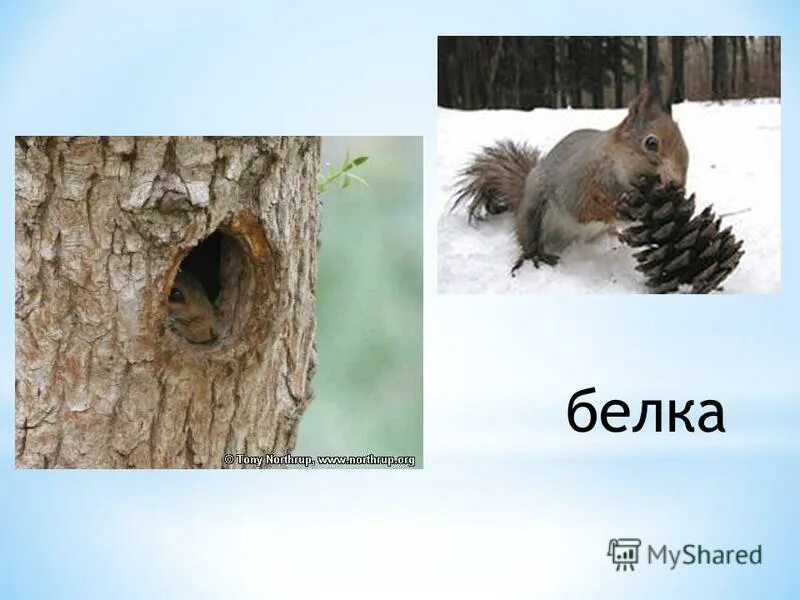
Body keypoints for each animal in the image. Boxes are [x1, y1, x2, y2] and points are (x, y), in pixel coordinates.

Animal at [452, 81, 689, 275]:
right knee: (528, 238)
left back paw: (619, 236)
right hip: (533, 210)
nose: (677, 185)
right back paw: (535, 255)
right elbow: (581, 207)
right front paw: (617, 208)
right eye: (651, 143)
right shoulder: (577, 181)